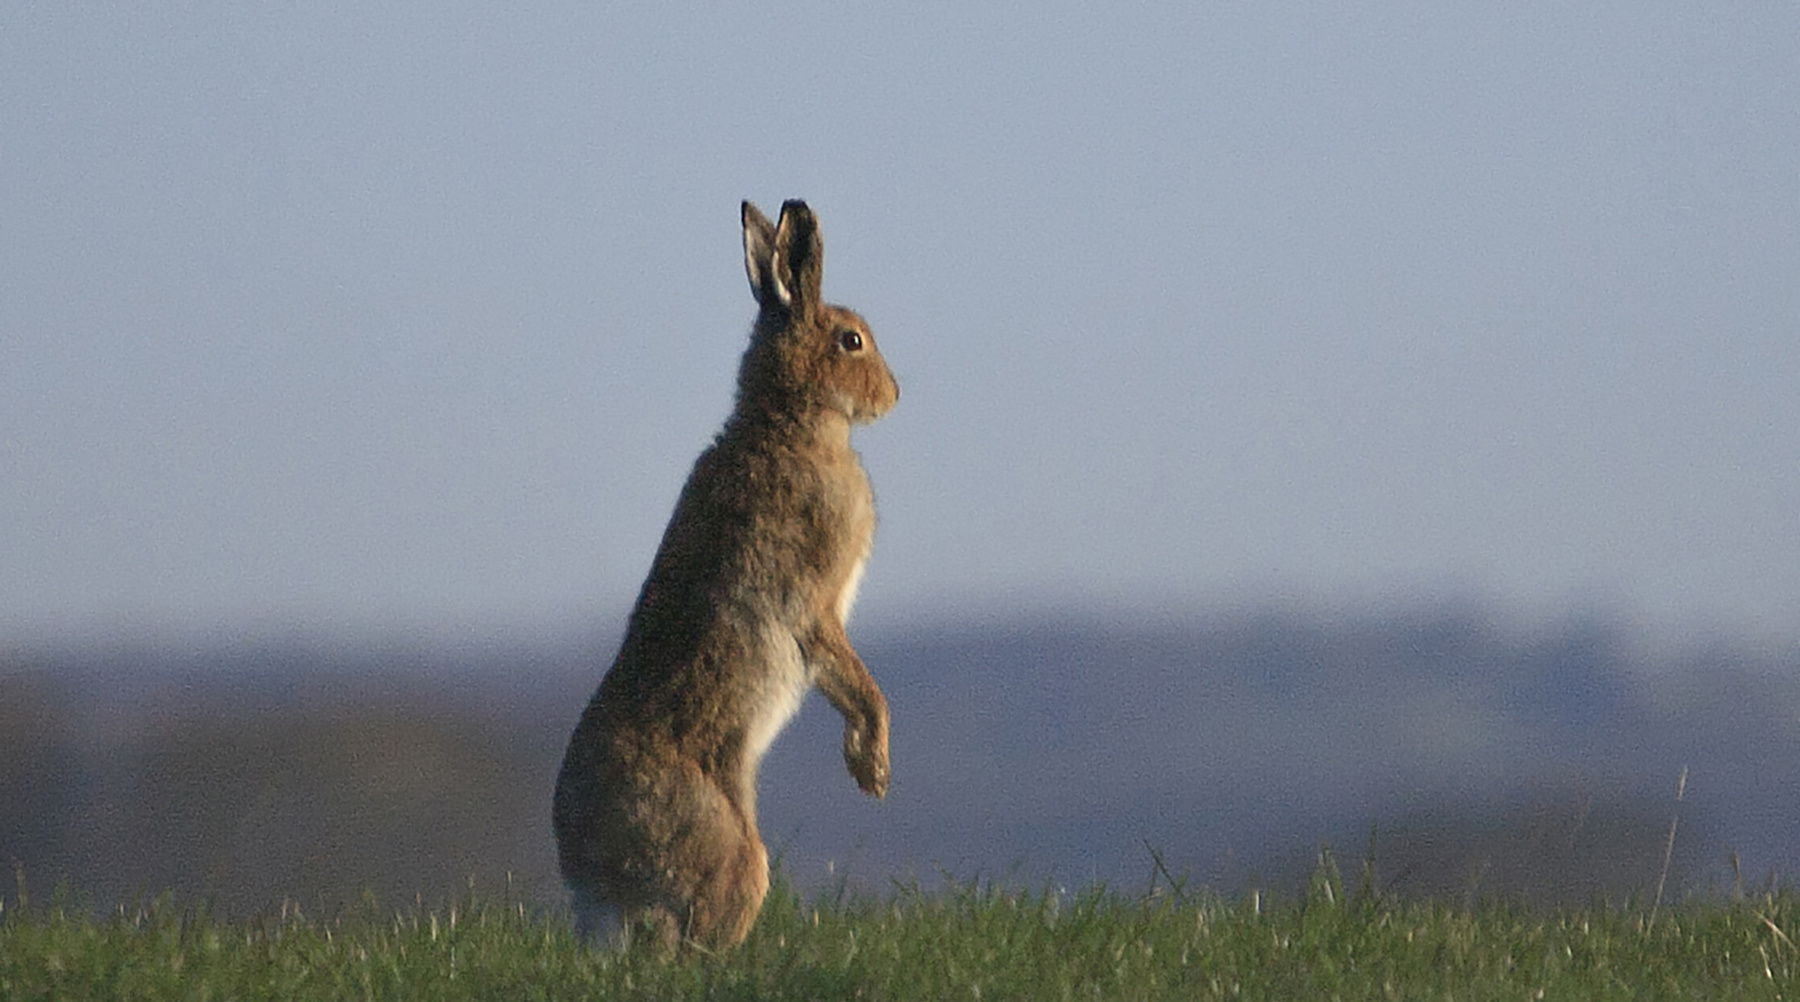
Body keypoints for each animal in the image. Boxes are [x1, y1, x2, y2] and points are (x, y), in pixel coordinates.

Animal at [552, 199, 898, 953]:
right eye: (852, 340)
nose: (894, 393)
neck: (789, 420)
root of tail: (594, 880)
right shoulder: (815, 606)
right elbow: (860, 684)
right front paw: (874, 773)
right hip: (735, 855)